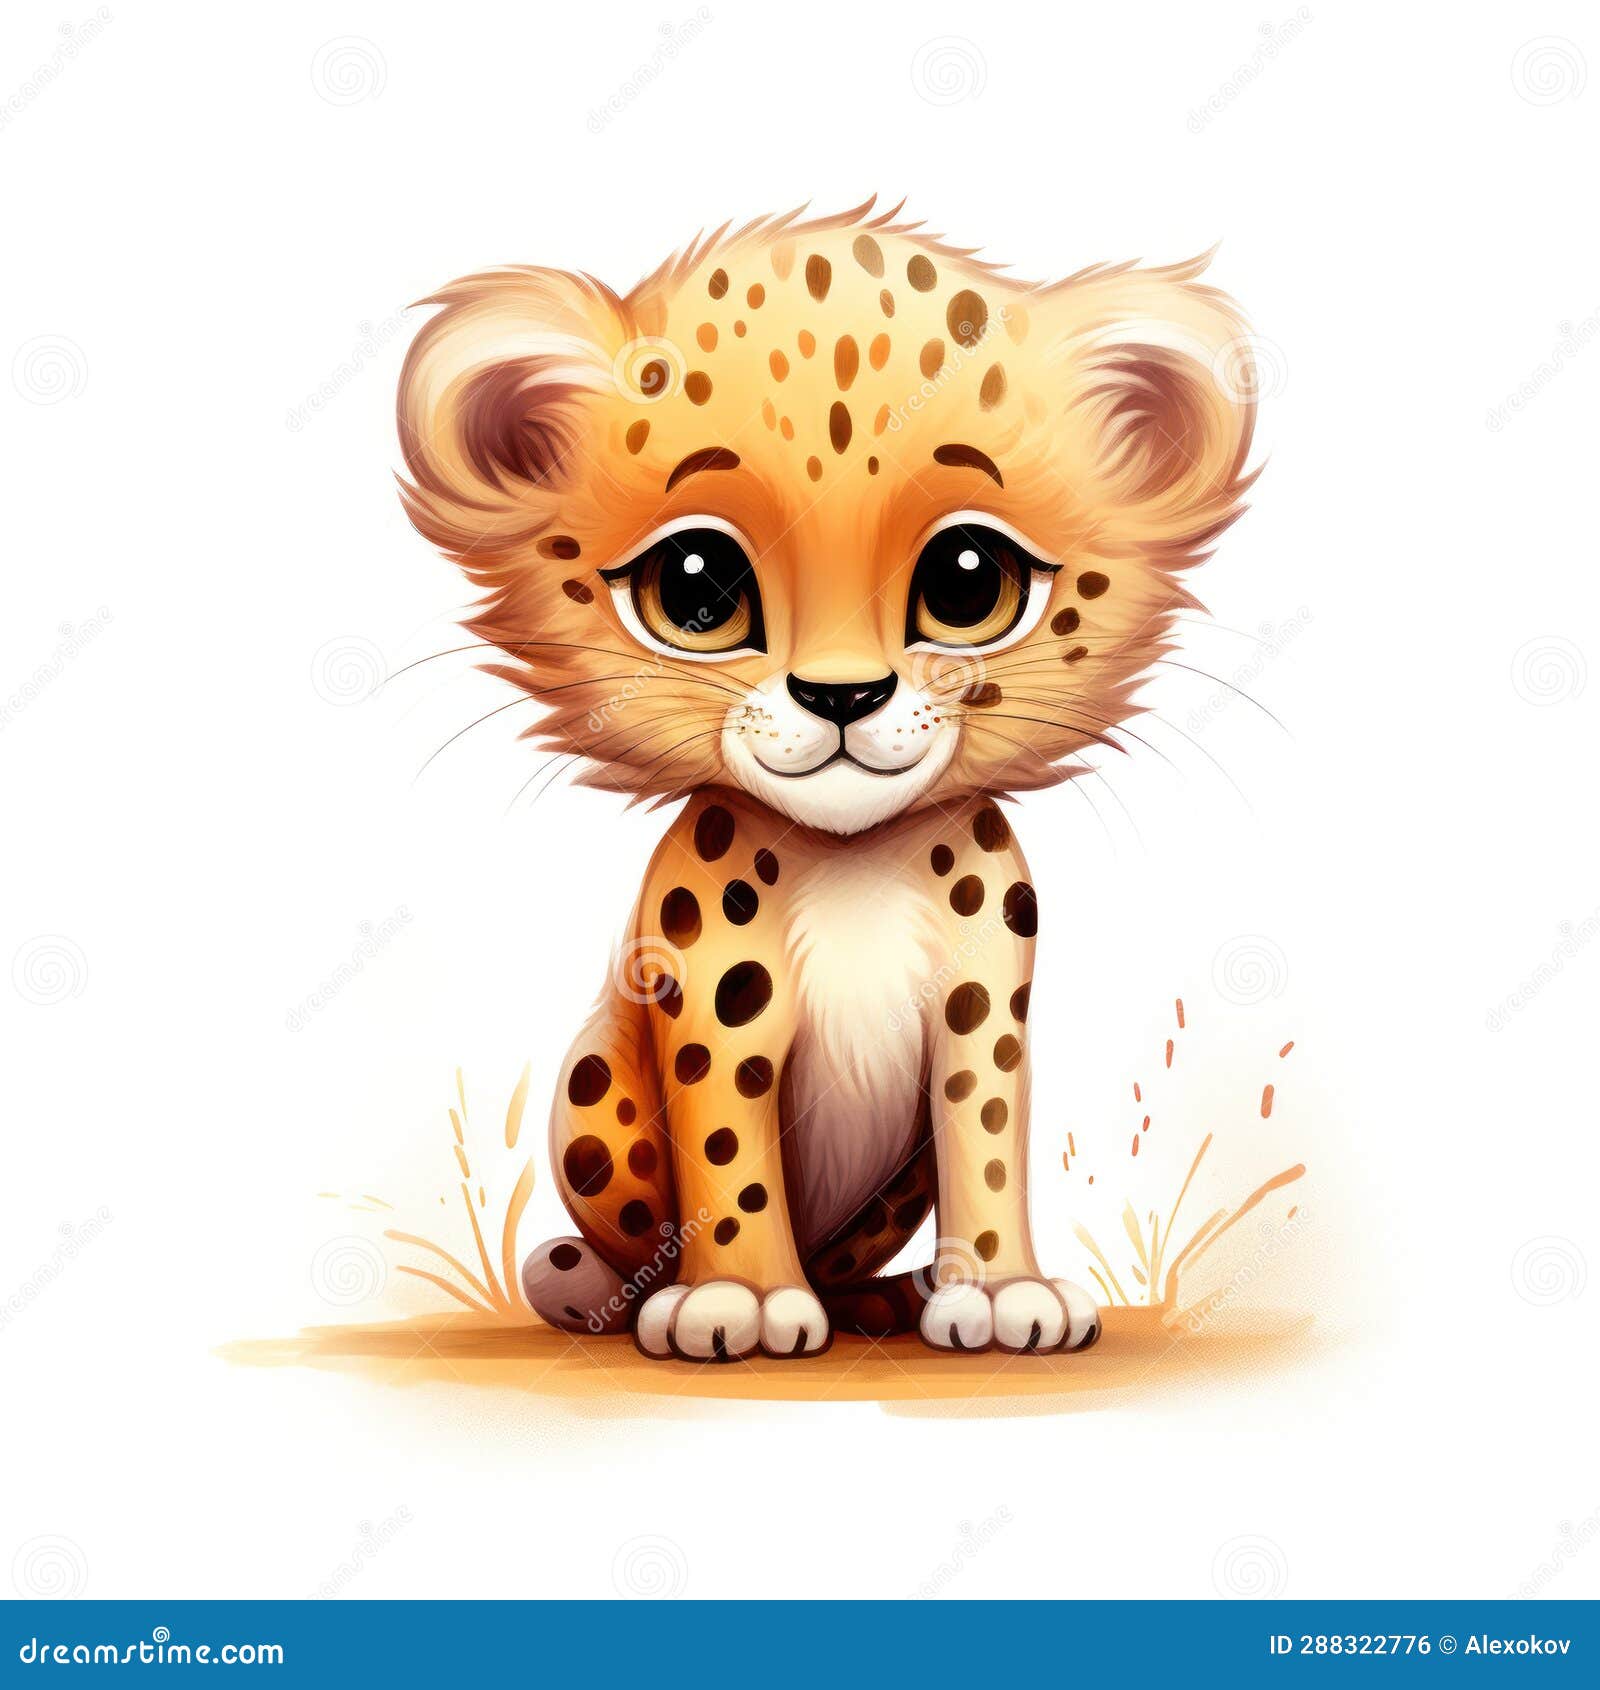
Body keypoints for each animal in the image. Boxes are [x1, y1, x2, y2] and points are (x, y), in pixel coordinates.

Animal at [394, 199, 1256, 1360]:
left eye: (968, 580)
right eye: (697, 586)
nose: (841, 694)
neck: (854, 864)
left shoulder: (984, 1012)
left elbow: (986, 1142)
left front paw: (999, 1289)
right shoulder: (716, 1015)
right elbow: (730, 1157)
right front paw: (739, 1298)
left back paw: (882, 1299)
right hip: (593, 1096)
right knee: (613, 1249)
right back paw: (603, 1291)